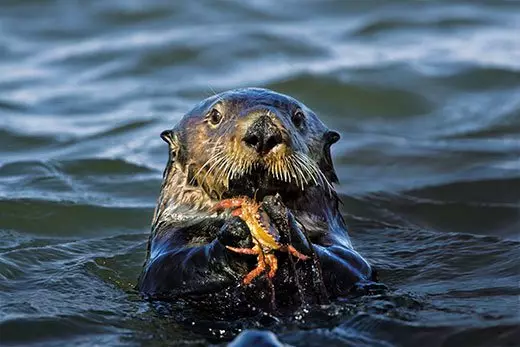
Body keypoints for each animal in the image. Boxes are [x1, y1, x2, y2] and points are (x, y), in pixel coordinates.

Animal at [136, 88, 376, 308]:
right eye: (215, 116)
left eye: (298, 118)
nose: (263, 132)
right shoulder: (170, 239)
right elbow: (167, 269)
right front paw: (236, 234)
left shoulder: (338, 244)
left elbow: (350, 264)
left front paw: (290, 228)